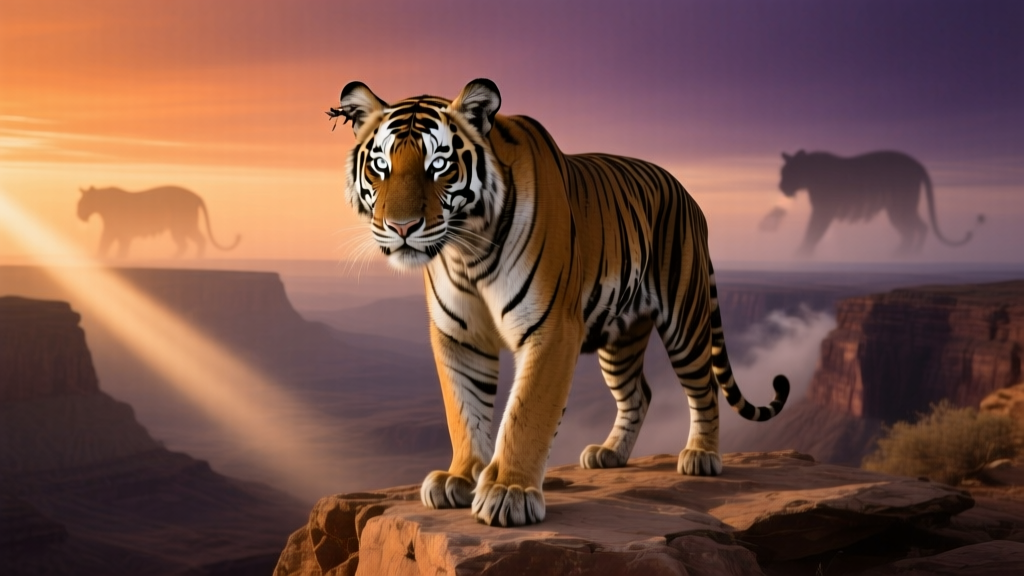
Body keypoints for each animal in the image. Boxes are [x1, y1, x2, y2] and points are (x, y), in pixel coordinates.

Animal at [77, 185, 240, 258]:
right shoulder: (120, 233)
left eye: (81, 203)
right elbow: (112, 247)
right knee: (197, 241)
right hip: (185, 227)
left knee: (190, 243)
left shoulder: (116, 232)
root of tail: (196, 196)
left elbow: (105, 245)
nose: (78, 214)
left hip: (181, 227)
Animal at [331, 79, 790, 527]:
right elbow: (463, 410)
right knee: (639, 393)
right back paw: (610, 453)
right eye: (381, 166)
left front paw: (509, 492)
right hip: (620, 338)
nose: (401, 227)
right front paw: (459, 478)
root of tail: (689, 197)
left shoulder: (551, 329)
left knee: (704, 386)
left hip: (685, 320)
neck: (466, 249)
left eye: (438, 165)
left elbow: (527, 413)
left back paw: (702, 455)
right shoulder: (459, 336)